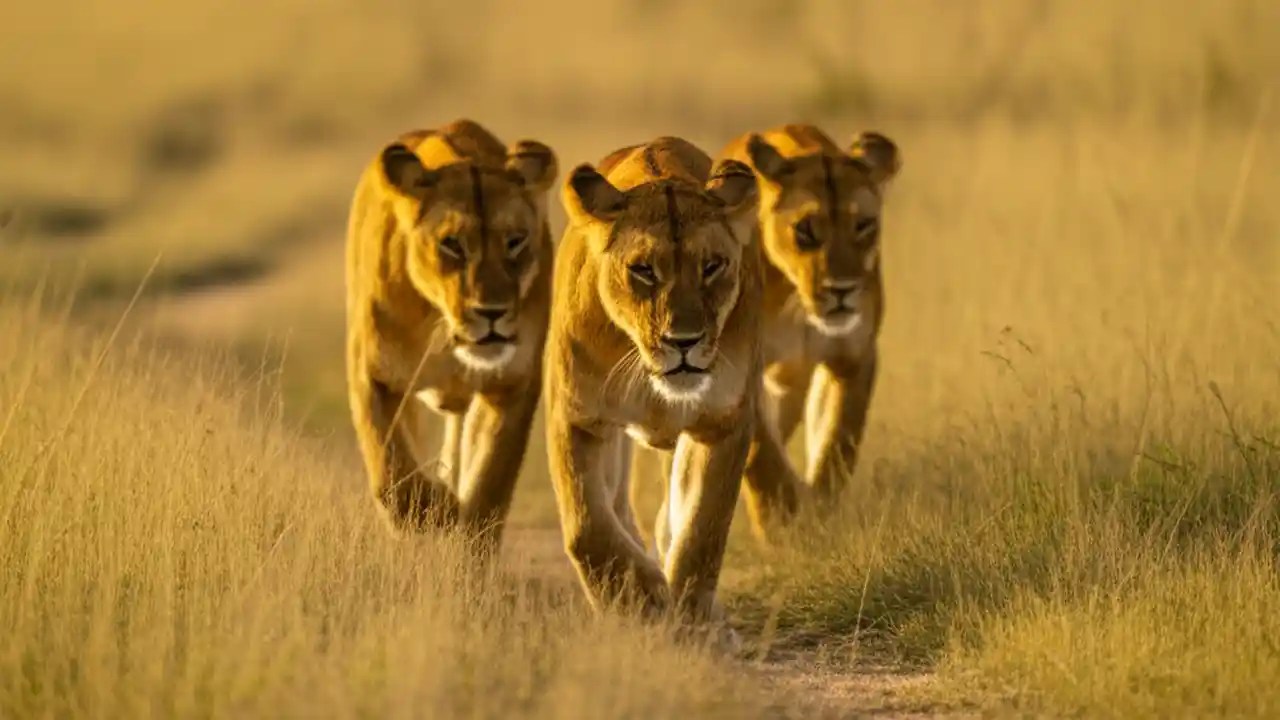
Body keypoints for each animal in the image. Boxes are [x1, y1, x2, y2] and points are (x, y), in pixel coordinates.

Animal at [345, 119, 558, 549]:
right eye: (452, 244)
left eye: (515, 241)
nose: (491, 312)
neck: (444, 329)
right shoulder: (373, 373)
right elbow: (390, 466)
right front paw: (432, 511)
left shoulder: (511, 383)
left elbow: (490, 482)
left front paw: (469, 549)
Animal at [544, 136, 786, 630]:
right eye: (643, 269)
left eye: (712, 266)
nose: (684, 341)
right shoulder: (576, 416)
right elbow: (586, 526)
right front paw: (639, 600)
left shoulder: (722, 420)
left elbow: (702, 531)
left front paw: (695, 624)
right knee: (618, 506)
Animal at [720, 124, 901, 512]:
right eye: (805, 229)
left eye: (863, 225)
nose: (842, 289)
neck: (797, 303)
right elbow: (762, 457)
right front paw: (781, 516)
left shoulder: (853, 356)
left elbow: (838, 441)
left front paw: (820, 506)